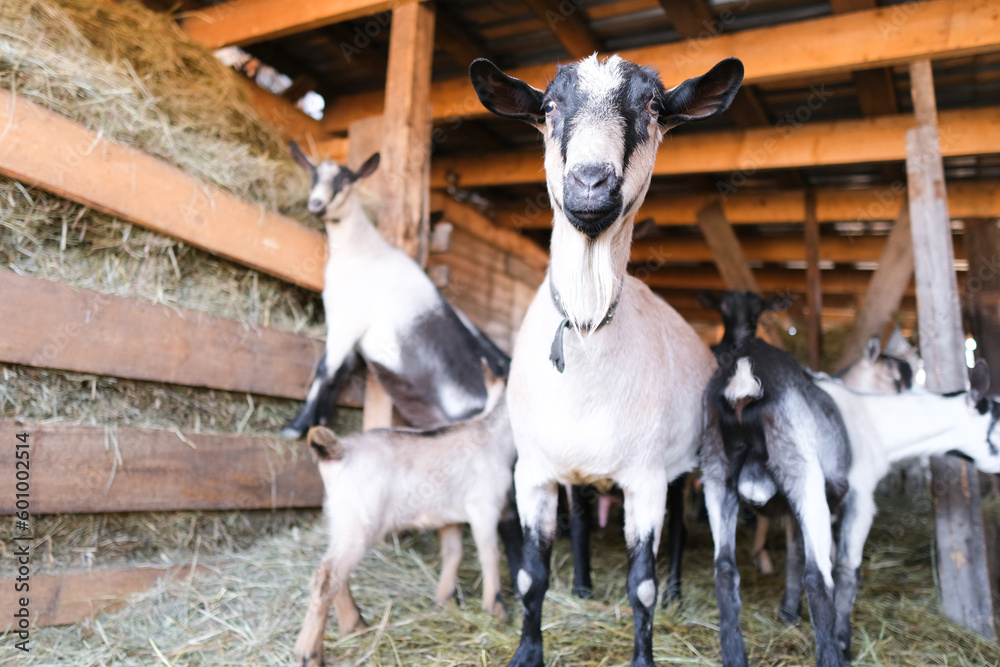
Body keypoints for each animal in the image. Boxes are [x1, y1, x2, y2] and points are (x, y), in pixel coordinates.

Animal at [292, 364, 514, 667]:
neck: (491, 431)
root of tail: (338, 450)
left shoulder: (450, 516)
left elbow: (453, 553)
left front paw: (444, 601)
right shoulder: (484, 506)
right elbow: (490, 555)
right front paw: (496, 610)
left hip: (340, 520)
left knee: (336, 573)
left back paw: (354, 625)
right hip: (360, 521)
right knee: (327, 575)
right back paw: (309, 653)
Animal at [471, 54, 744, 666]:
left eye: (653, 107)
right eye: (549, 107)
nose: (591, 183)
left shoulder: (646, 479)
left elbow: (639, 585)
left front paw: (643, 653)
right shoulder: (534, 472)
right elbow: (531, 576)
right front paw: (527, 651)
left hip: (689, 465)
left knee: (682, 535)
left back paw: (676, 590)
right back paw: (583, 585)